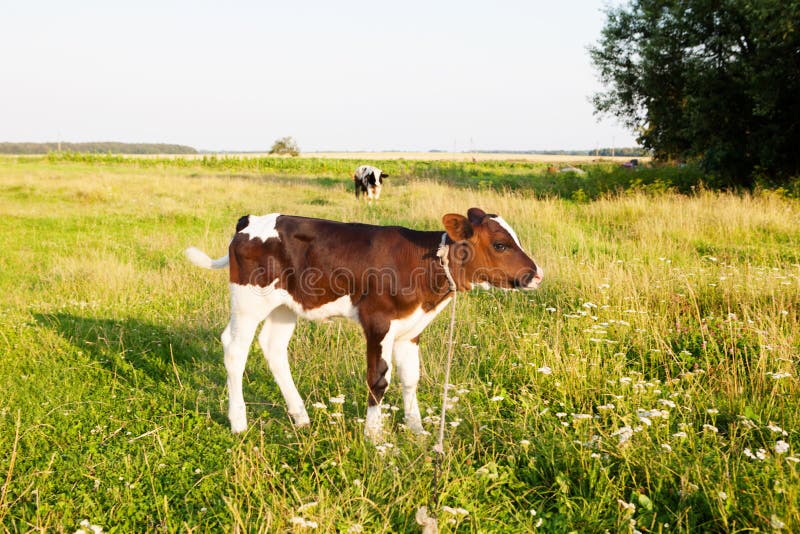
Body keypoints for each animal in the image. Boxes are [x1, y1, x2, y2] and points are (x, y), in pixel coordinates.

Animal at [185, 207, 543, 439]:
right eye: (500, 244)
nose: (536, 274)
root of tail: (249, 221)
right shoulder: (378, 321)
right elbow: (379, 379)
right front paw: (375, 436)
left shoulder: (410, 330)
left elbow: (410, 379)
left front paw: (418, 432)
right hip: (248, 300)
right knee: (235, 349)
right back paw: (238, 422)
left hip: (285, 305)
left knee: (273, 348)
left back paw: (301, 417)